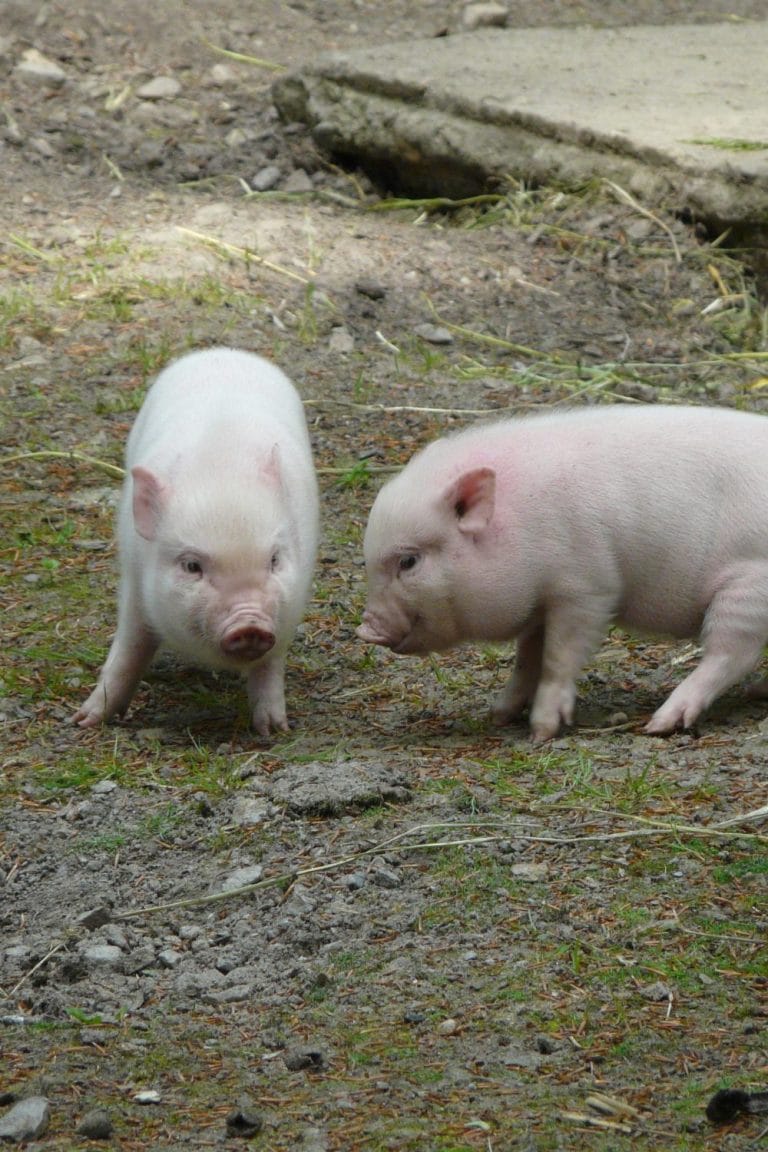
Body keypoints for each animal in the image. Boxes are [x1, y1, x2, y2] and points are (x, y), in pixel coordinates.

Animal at [74, 347, 318, 735]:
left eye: (274, 560)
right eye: (192, 566)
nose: (250, 624)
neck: (219, 474)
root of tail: (223, 352)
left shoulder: (290, 608)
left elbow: (269, 666)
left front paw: (275, 730)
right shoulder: (135, 584)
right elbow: (129, 651)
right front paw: (84, 721)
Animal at [357, 404, 768, 741]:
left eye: (409, 561)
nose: (365, 628)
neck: (519, 525)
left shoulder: (586, 588)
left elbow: (558, 657)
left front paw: (540, 734)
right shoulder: (541, 603)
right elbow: (527, 657)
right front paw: (498, 715)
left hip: (746, 588)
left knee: (731, 654)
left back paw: (660, 724)